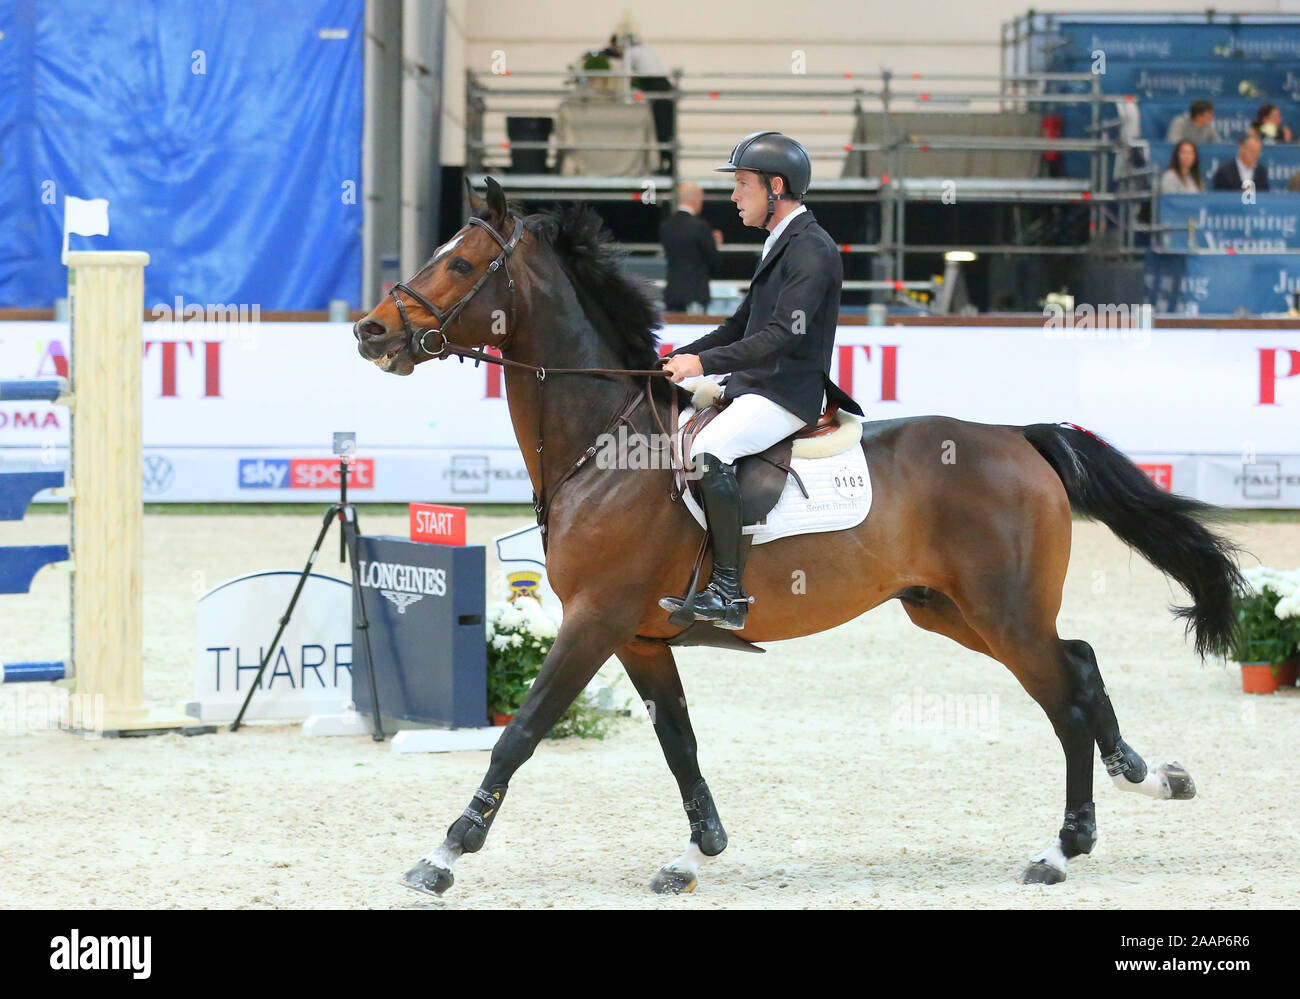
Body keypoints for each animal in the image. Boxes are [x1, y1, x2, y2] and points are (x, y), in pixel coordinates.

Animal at [353, 176, 1244, 897]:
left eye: (462, 265)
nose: (368, 332)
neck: (606, 444)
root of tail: (1019, 437)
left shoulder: (594, 620)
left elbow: (521, 733)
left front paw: (444, 853)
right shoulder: (638, 635)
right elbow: (680, 743)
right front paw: (696, 852)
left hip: (1004, 613)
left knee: (1063, 697)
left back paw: (1062, 848)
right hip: (950, 609)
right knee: (1082, 666)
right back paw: (1147, 779)